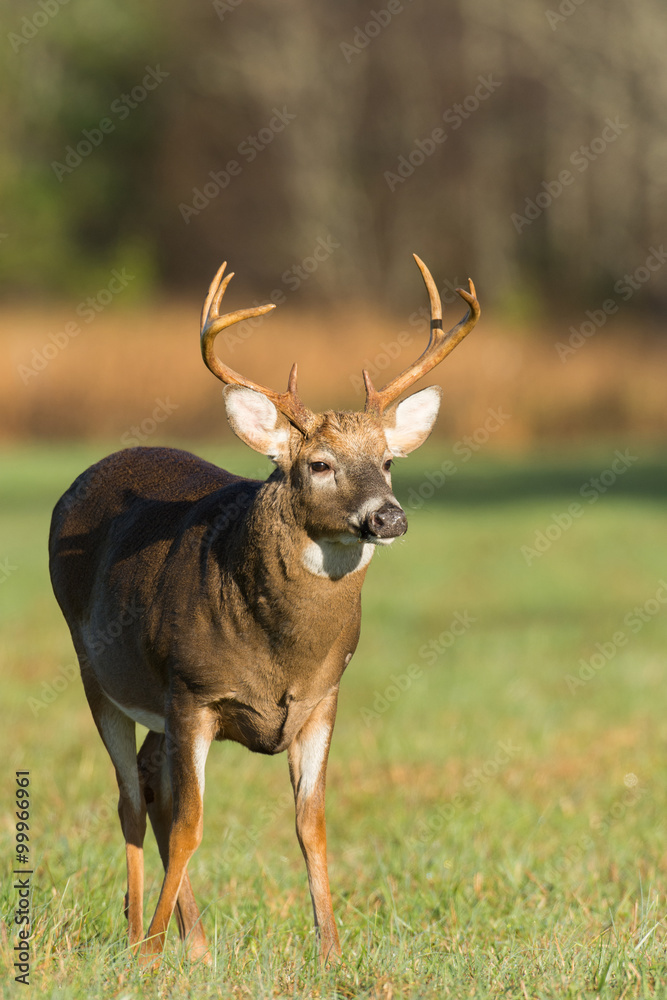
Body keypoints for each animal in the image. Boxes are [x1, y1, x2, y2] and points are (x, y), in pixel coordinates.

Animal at [48, 254, 480, 966]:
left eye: (388, 461)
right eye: (320, 464)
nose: (389, 517)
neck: (279, 650)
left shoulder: (321, 698)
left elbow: (312, 824)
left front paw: (332, 951)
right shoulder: (194, 691)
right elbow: (192, 824)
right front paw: (154, 952)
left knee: (148, 778)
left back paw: (193, 941)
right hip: (98, 673)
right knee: (131, 797)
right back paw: (142, 935)